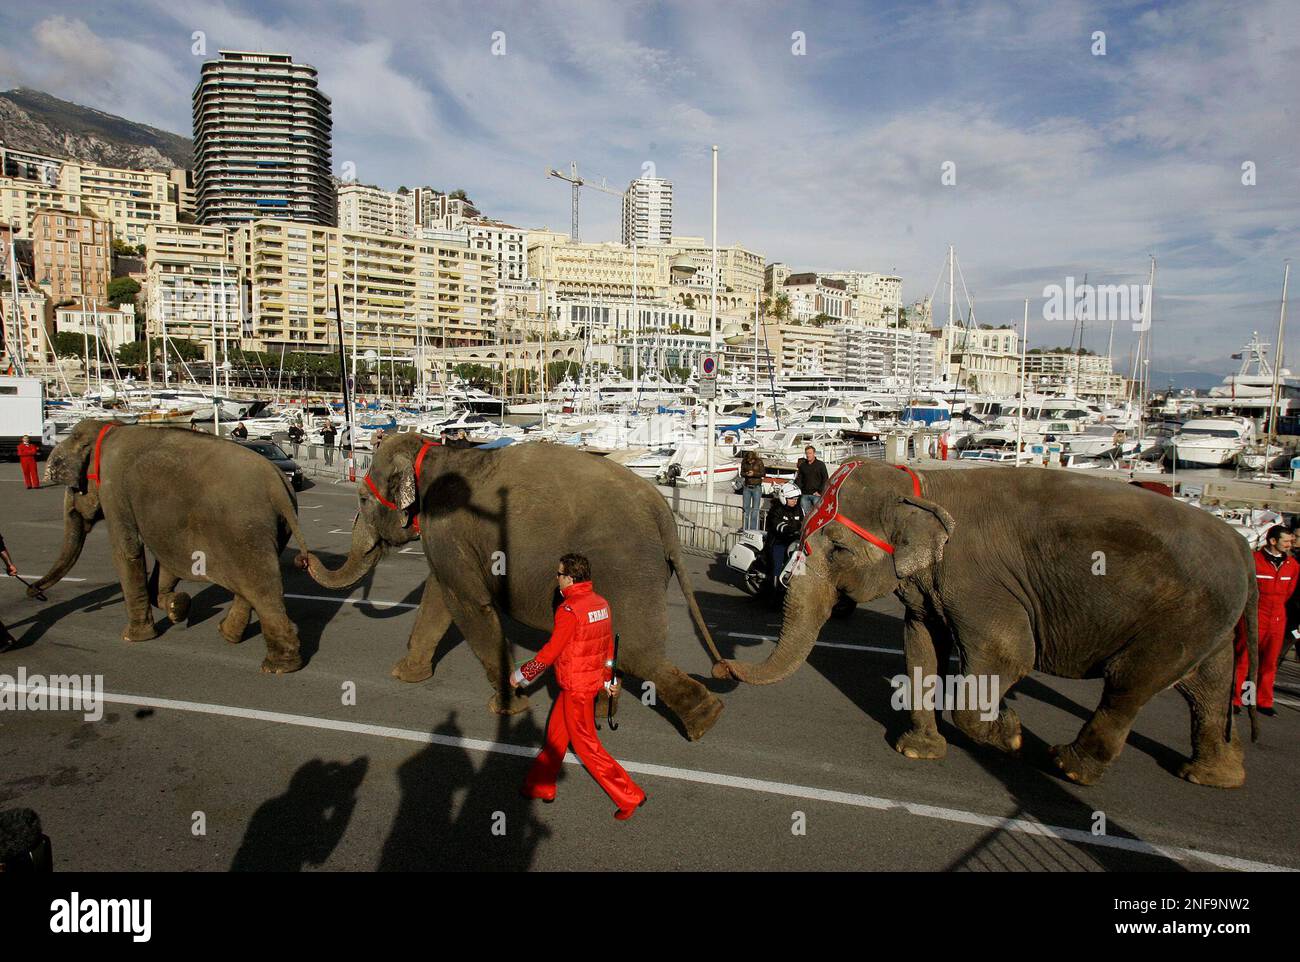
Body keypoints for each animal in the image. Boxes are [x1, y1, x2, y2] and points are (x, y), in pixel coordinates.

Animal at [29, 419, 313, 673]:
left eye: (73, 488)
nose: (33, 591)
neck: (109, 428)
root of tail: (279, 485)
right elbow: (166, 561)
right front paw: (179, 607)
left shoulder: (114, 490)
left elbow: (127, 551)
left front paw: (135, 637)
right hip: (269, 531)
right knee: (250, 585)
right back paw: (227, 634)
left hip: (244, 530)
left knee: (261, 589)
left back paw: (277, 667)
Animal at [300, 431, 726, 740]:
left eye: (361, 498)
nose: (302, 558)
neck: (435, 449)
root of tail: (662, 510)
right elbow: (438, 597)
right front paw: (405, 675)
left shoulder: (448, 529)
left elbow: (468, 604)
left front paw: (508, 708)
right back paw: (605, 714)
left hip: (625, 566)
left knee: (639, 653)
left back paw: (705, 720)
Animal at [715, 460, 1257, 788]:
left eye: (839, 550)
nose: (721, 666)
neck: (924, 486)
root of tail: (1241, 545)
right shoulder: (930, 589)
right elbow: (920, 646)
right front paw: (918, 751)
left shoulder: (978, 582)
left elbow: (1008, 655)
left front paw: (1011, 734)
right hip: (1207, 621)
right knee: (1205, 685)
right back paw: (1215, 774)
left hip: (1182, 615)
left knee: (1130, 681)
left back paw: (1068, 765)